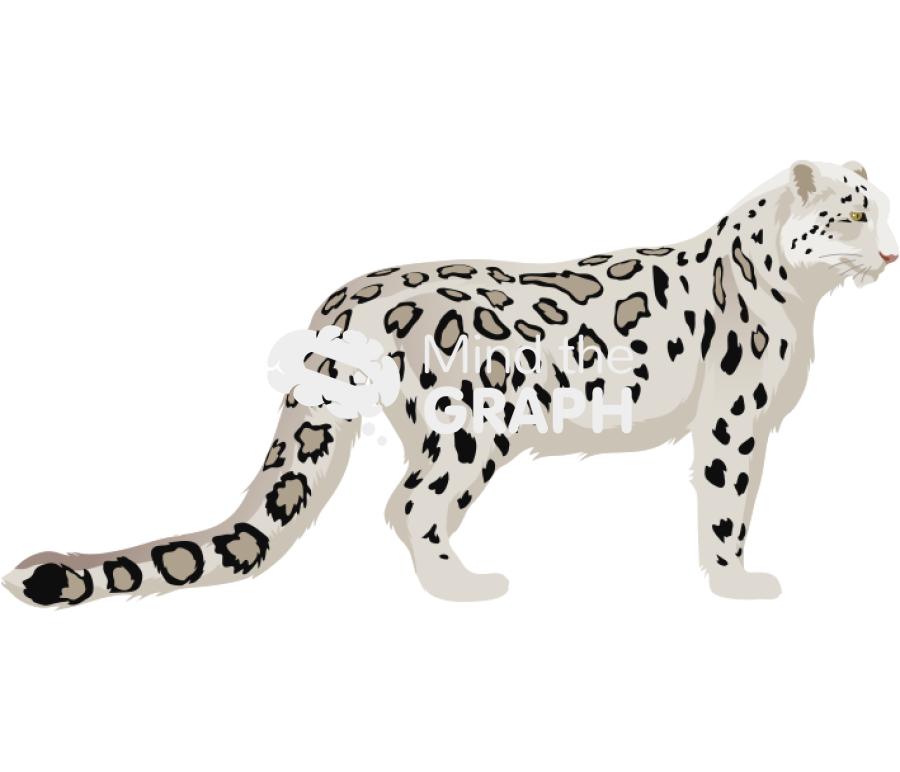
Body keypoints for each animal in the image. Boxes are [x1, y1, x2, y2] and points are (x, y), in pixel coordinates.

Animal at [3, 158, 896, 608]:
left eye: (886, 209)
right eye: (854, 215)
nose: (893, 253)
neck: (804, 300)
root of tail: (350, 296)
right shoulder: (735, 423)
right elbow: (727, 503)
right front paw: (739, 581)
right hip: (470, 424)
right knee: (411, 505)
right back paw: (466, 586)